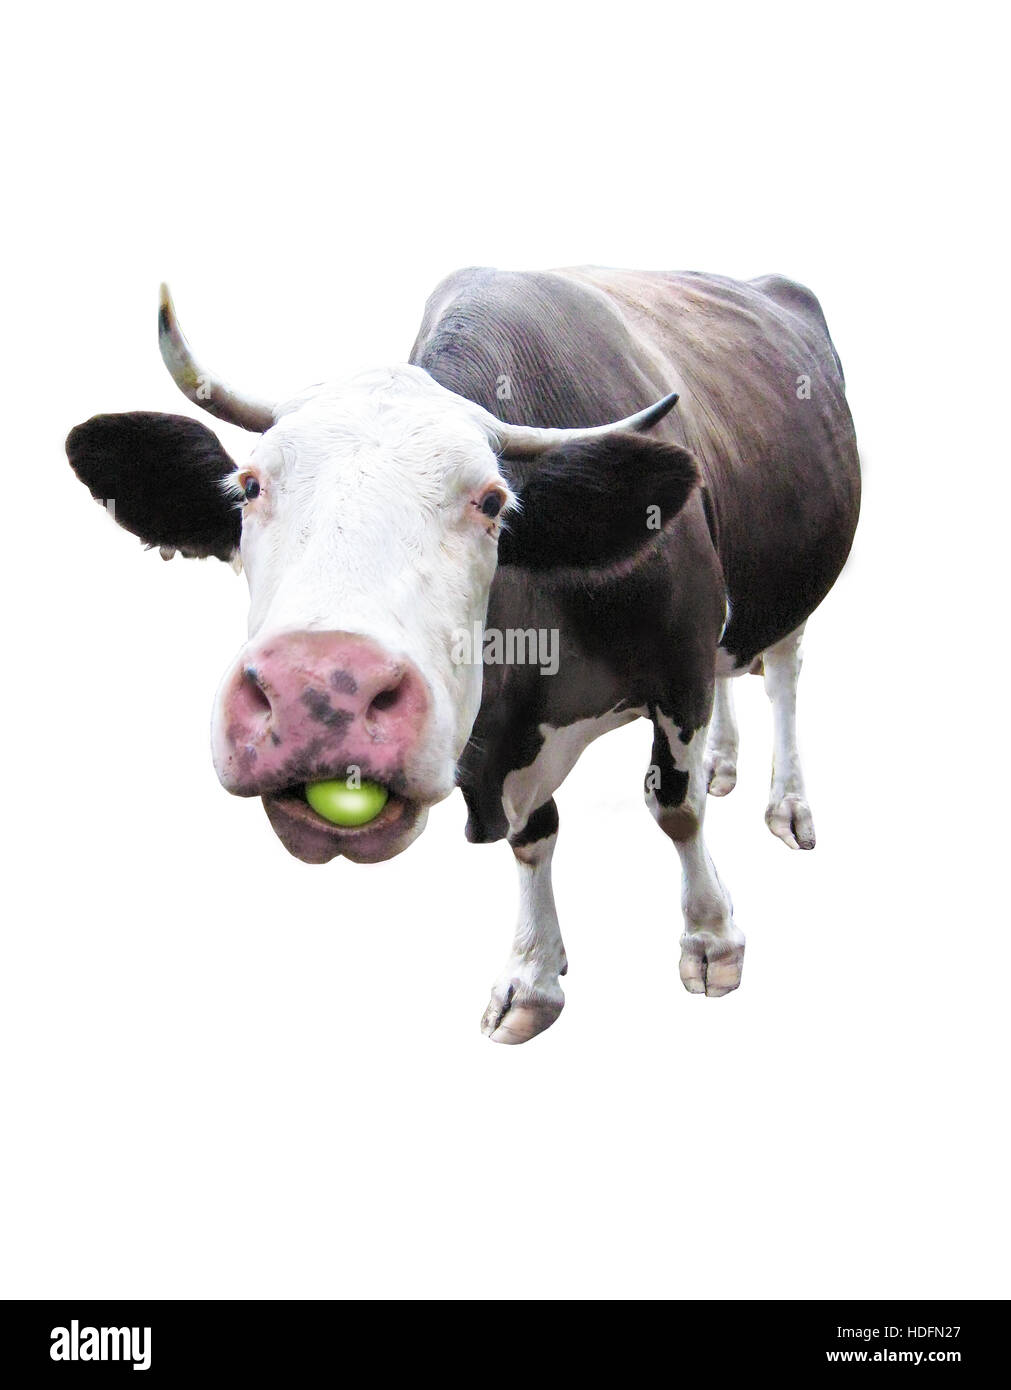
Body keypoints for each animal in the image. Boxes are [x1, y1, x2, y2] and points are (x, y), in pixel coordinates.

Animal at [66, 267, 860, 1044]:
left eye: (492, 502)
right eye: (248, 487)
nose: (320, 690)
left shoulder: (680, 658)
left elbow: (675, 808)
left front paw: (711, 940)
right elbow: (533, 836)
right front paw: (533, 974)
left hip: (794, 589)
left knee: (782, 675)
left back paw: (786, 803)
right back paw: (725, 762)